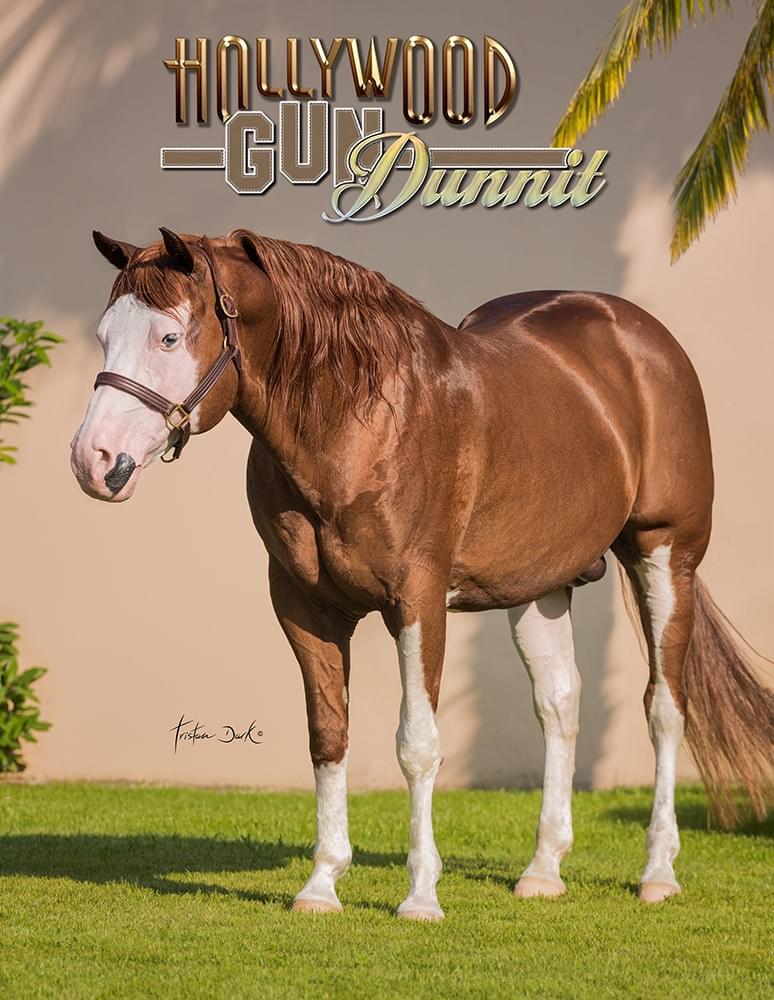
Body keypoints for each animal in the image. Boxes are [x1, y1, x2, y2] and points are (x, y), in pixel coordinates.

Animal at [71, 227, 774, 920]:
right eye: (103, 334)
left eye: (169, 336)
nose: (93, 459)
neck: (357, 423)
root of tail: (642, 337)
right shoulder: (303, 607)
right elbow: (329, 736)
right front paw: (322, 884)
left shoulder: (418, 599)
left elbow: (417, 744)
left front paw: (420, 896)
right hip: (541, 585)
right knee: (559, 705)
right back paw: (543, 871)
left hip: (666, 556)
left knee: (666, 708)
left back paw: (658, 873)